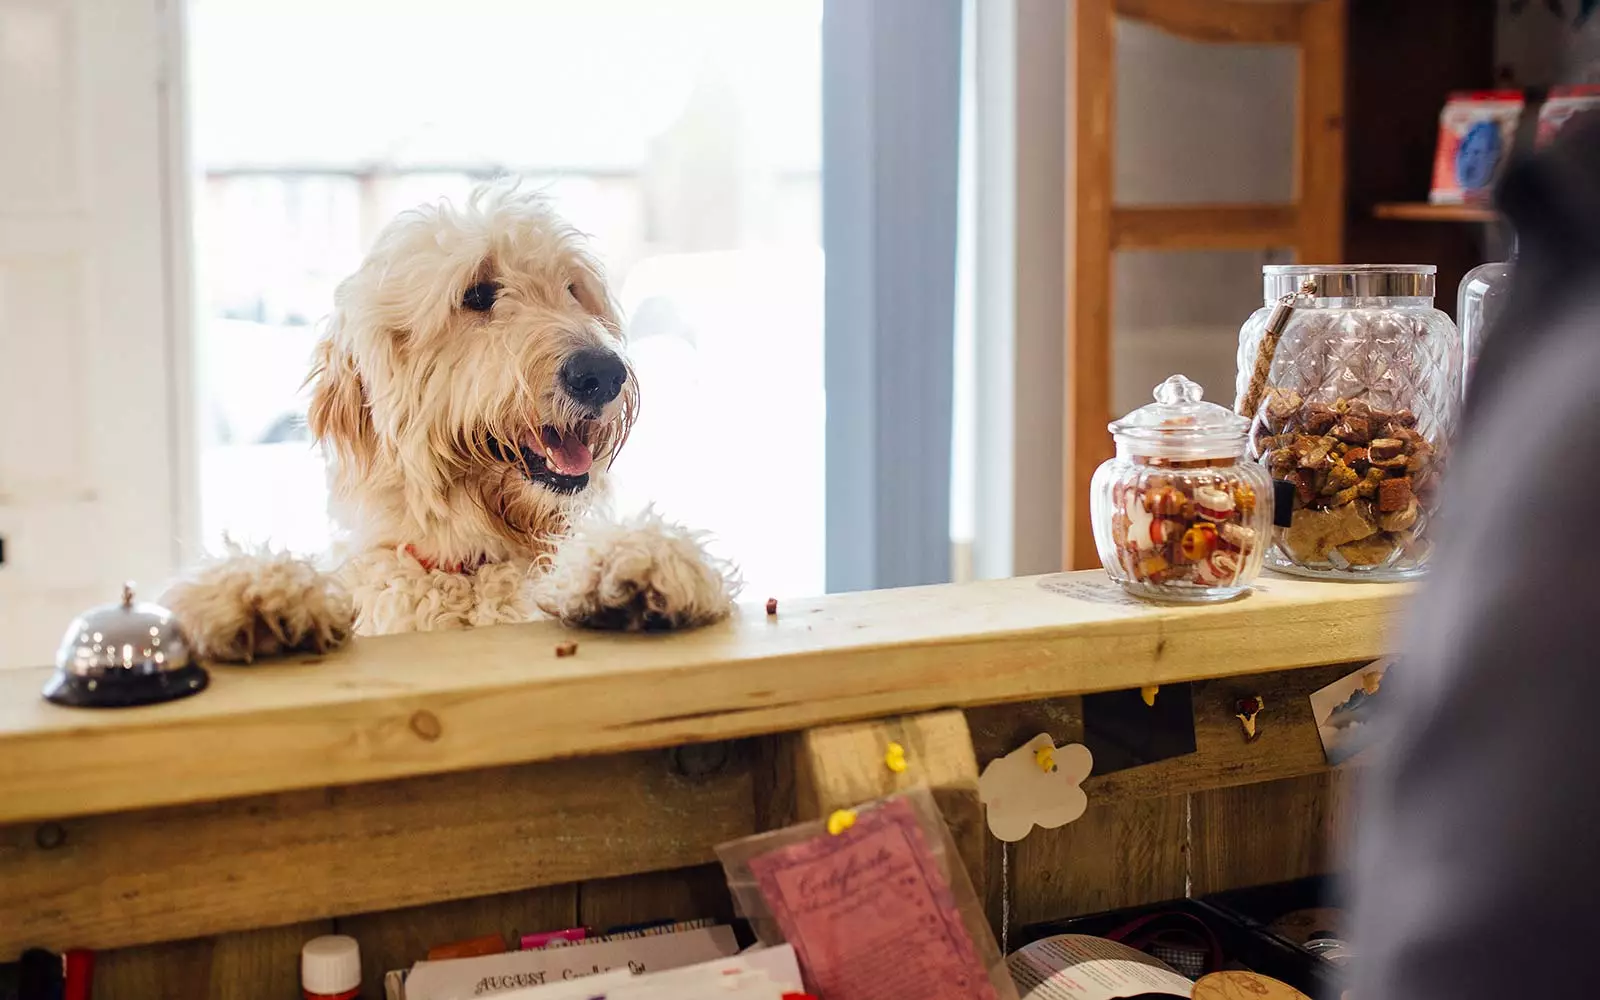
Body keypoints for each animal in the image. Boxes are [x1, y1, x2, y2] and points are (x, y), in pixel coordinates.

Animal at [162, 183, 736, 659]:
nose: (602, 372)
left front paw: (639, 560)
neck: (469, 567)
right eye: (477, 294)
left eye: (574, 290)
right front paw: (259, 592)